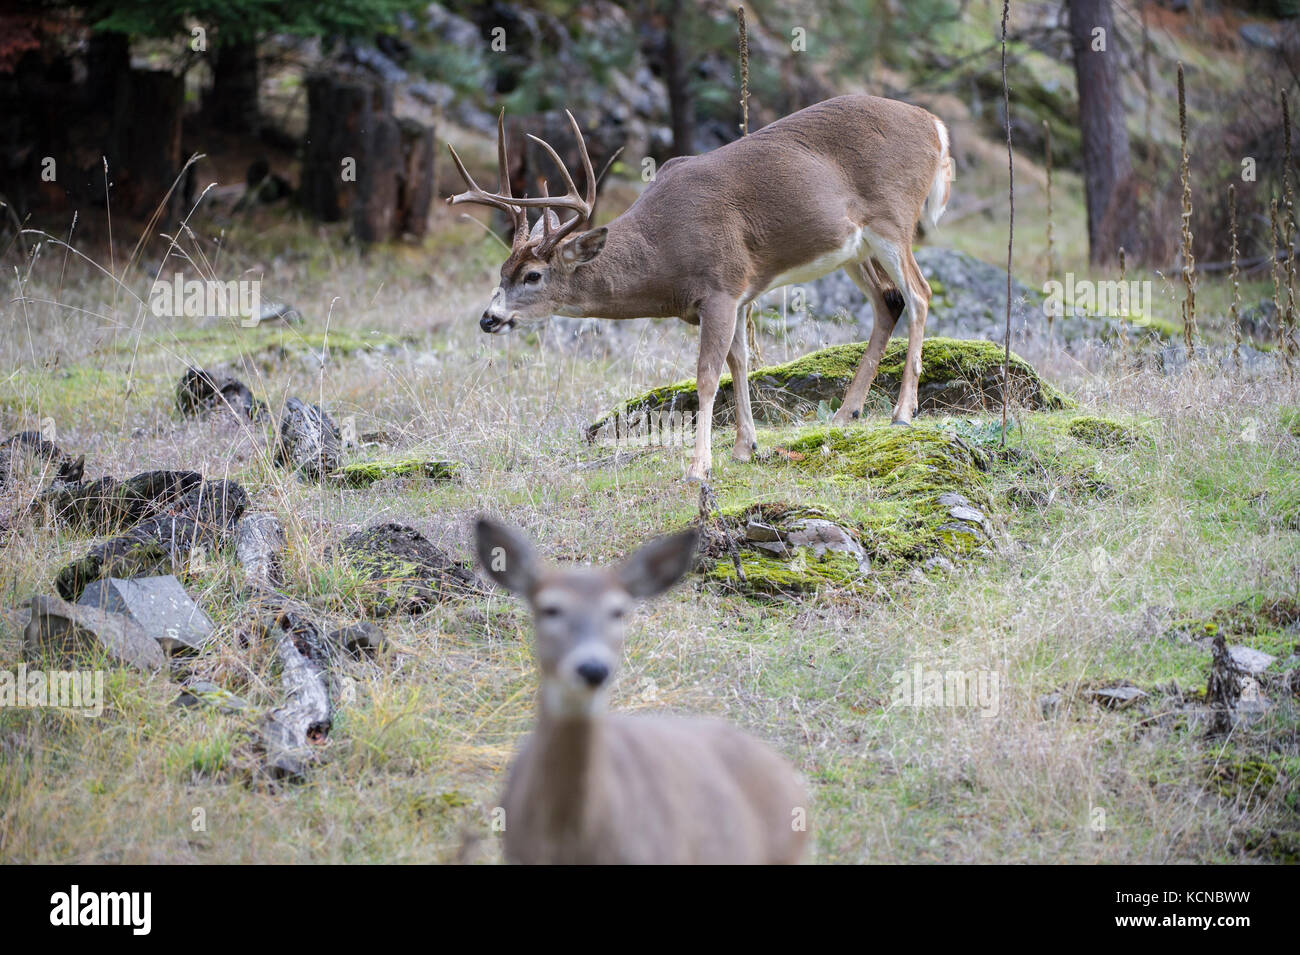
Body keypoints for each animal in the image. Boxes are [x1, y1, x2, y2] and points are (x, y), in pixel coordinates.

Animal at [446, 94, 952, 483]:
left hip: (892, 218)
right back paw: (848, 414)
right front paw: (745, 447)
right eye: (500, 271)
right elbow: (739, 363)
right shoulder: (737, 294)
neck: (664, 250)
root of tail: (935, 124)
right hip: (854, 248)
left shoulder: (721, 286)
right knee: (889, 301)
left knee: (920, 294)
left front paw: (698, 467)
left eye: (532, 275)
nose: (489, 319)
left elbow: (708, 376)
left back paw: (902, 412)